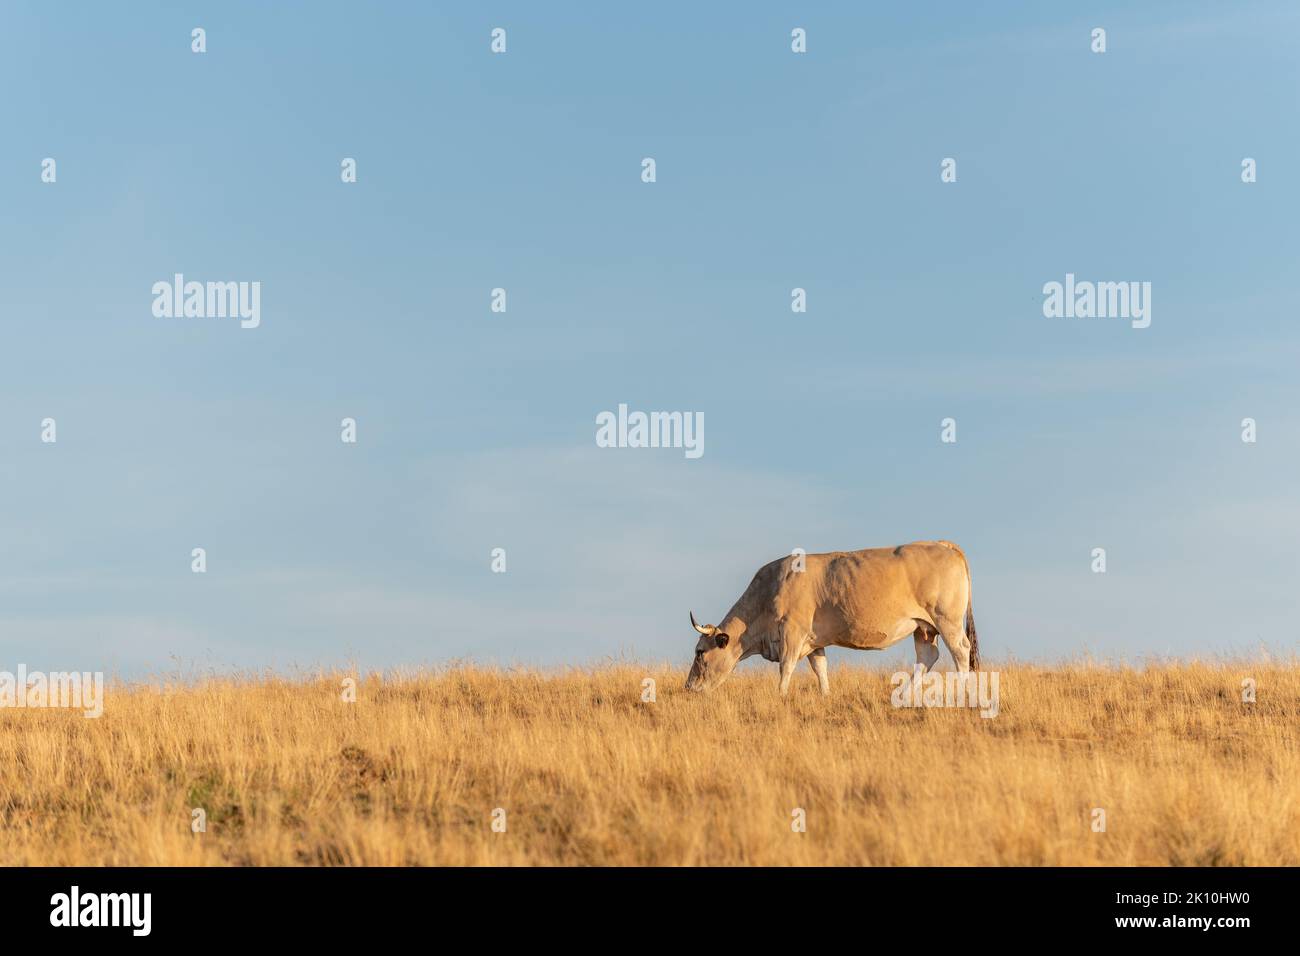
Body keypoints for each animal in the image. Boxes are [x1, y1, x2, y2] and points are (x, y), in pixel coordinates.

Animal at [684, 540, 978, 695]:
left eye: (700, 652)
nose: (688, 686)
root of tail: (943, 544)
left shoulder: (792, 632)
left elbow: (786, 667)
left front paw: (781, 695)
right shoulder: (814, 641)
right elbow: (820, 669)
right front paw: (825, 695)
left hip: (947, 620)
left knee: (961, 651)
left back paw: (963, 691)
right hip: (924, 628)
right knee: (927, 657)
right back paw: (905, 694)